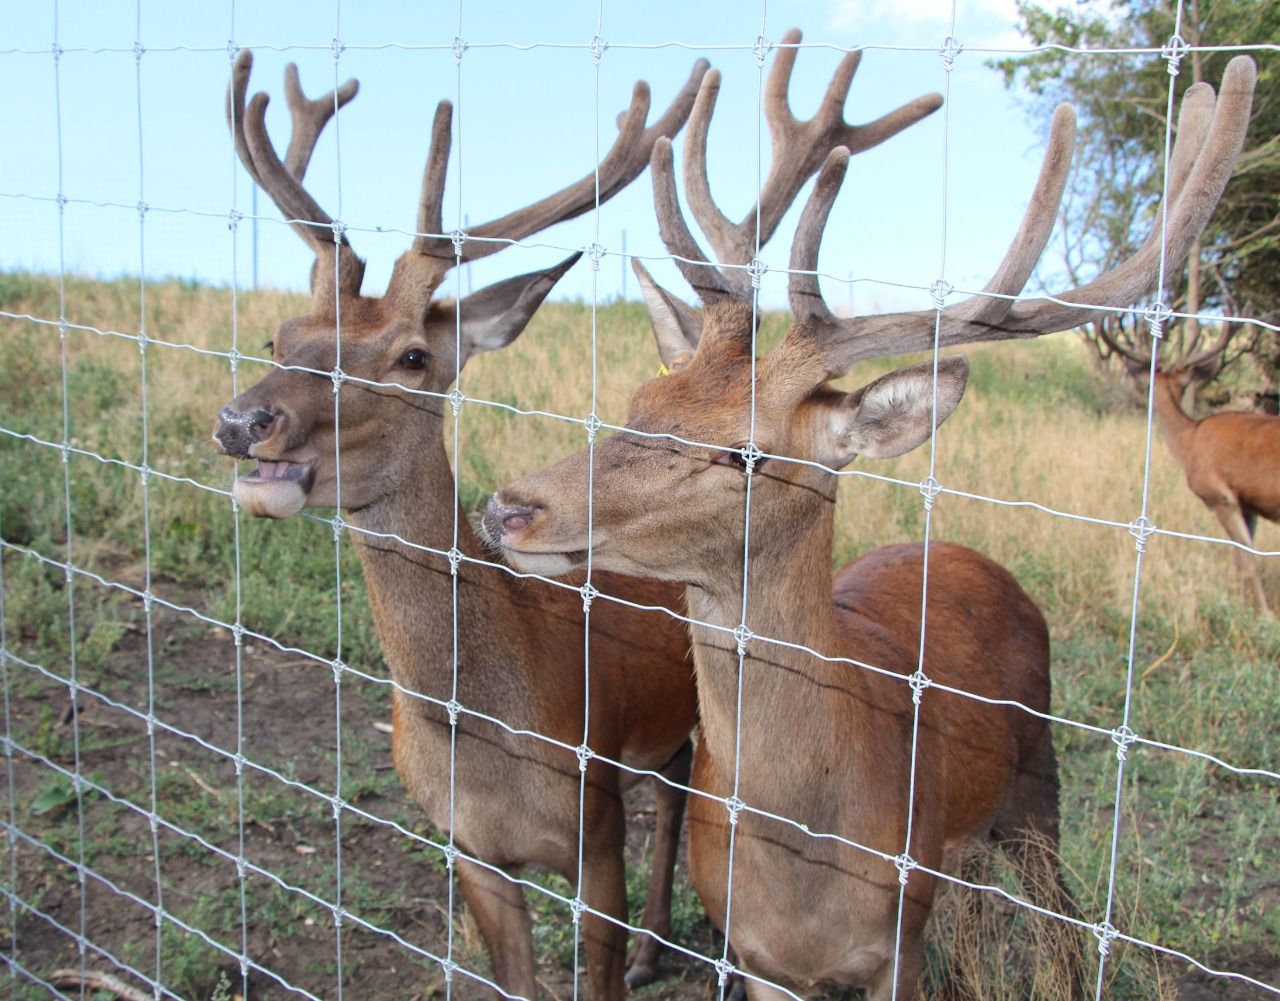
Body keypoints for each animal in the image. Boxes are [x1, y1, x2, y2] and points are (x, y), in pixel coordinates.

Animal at [210, 44, 942, 998]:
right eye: (278, 337)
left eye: (413, 356)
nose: (243, 421)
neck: (487, 742)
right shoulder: (469, 849)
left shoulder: (593, 821)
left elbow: (595, 957)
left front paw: (627, 955)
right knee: (675, 776)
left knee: (675, 792)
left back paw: (655, 946)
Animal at [482, 55, 1256, 1000]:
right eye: (639, 400)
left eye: (745, 453)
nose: (513, 506)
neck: (808, 861)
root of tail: (958, 546)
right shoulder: (754, 953)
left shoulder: (900, 938)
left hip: (1040, 775)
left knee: (1066, 924)